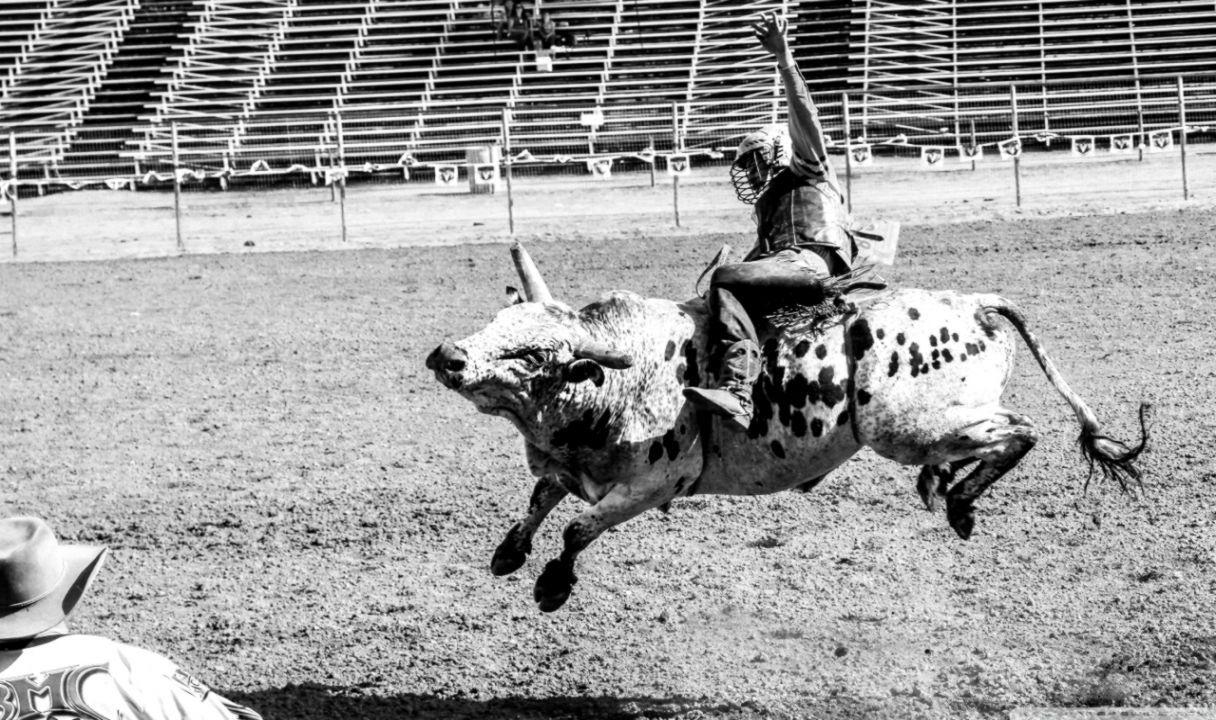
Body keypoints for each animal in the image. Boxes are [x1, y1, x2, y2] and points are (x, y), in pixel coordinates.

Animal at [426, 242, 1148, 612]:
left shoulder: (655, 484)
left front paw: (553, 582)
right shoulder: (568, 467)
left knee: (1020, 429)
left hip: (902, 424)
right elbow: (541, 498)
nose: (448, 356)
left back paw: (960, 501)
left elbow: (578, 527)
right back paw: (946, 485)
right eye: (497, 324)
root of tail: (974, 304)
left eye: (532, 354)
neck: (618, 376)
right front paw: (510, 552)